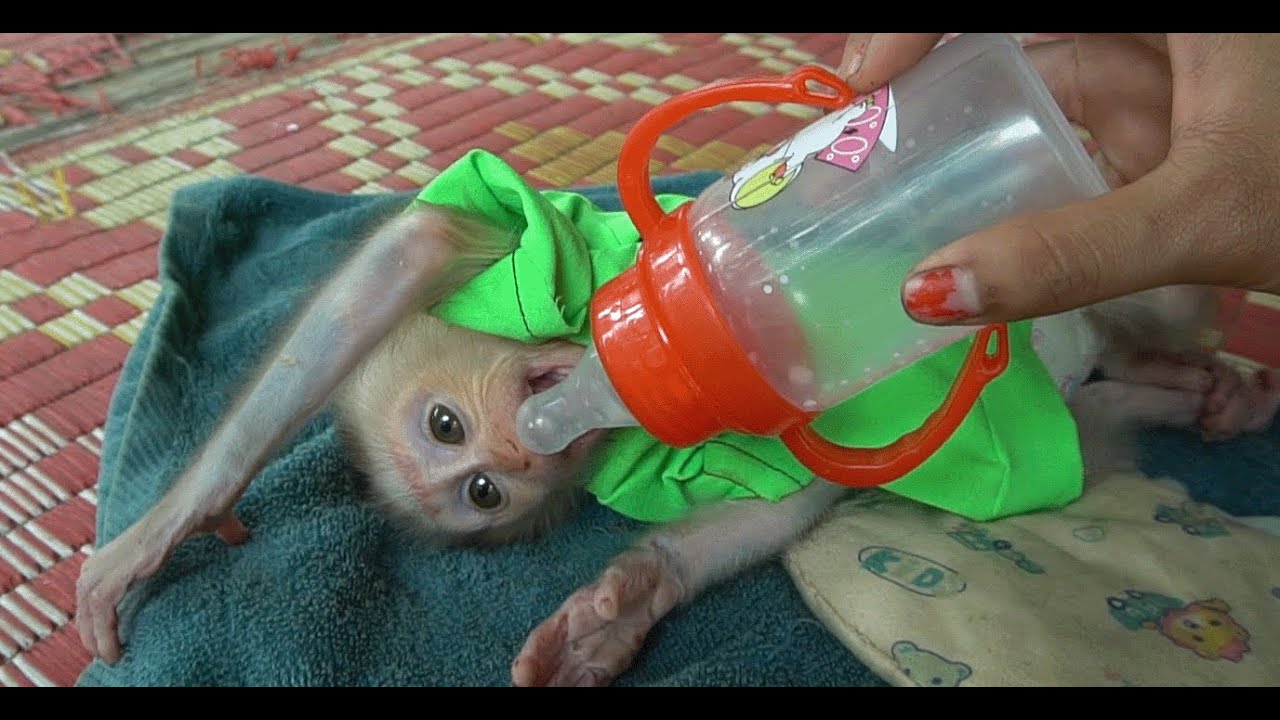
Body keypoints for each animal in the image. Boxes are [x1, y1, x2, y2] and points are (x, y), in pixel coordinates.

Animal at [72, 196, 1280, 687]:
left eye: (451, 428)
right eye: (480, 494)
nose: (520, 457)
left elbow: (417, 246)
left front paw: (163, 526)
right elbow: (791, 497)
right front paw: (616, 610)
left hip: (1110, 260)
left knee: (1155, 276)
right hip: (1084, 413)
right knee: (1114, 400)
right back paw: (1202, 392)